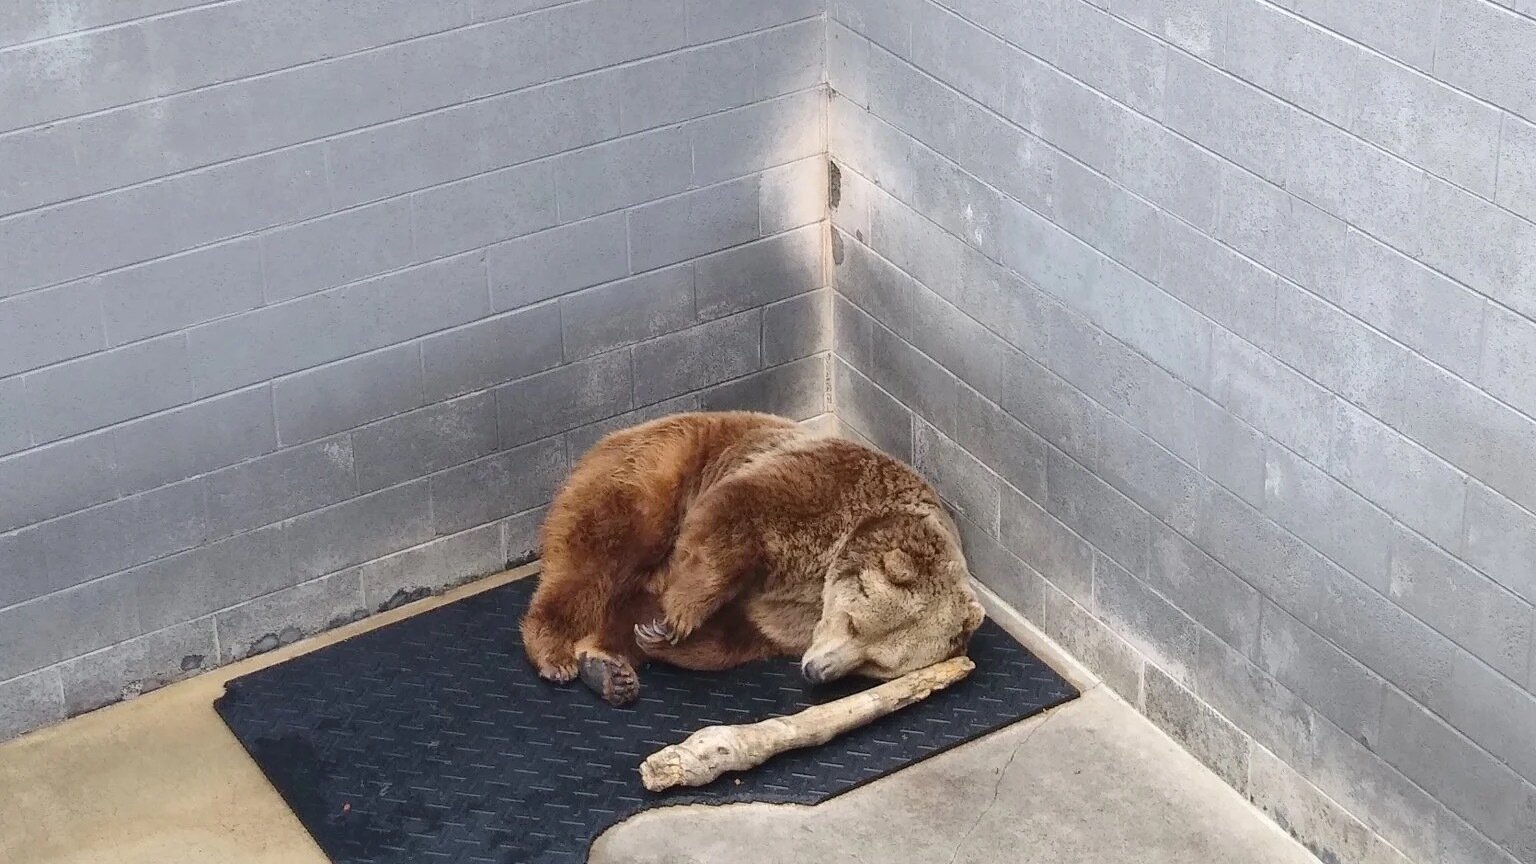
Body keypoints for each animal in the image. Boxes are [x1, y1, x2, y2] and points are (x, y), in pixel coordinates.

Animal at [519, 410, 986, 706]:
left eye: (875, 664)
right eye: (854, 624)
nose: (817, 670)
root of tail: (609, 437)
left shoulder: (783, 619)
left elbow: (732, 637)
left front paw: (655, 634)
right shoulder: (825, 490)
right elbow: (735, 517)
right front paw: (678, 616)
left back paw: (607, 670)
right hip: (653, 472)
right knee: (597, 557)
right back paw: (555, 652)